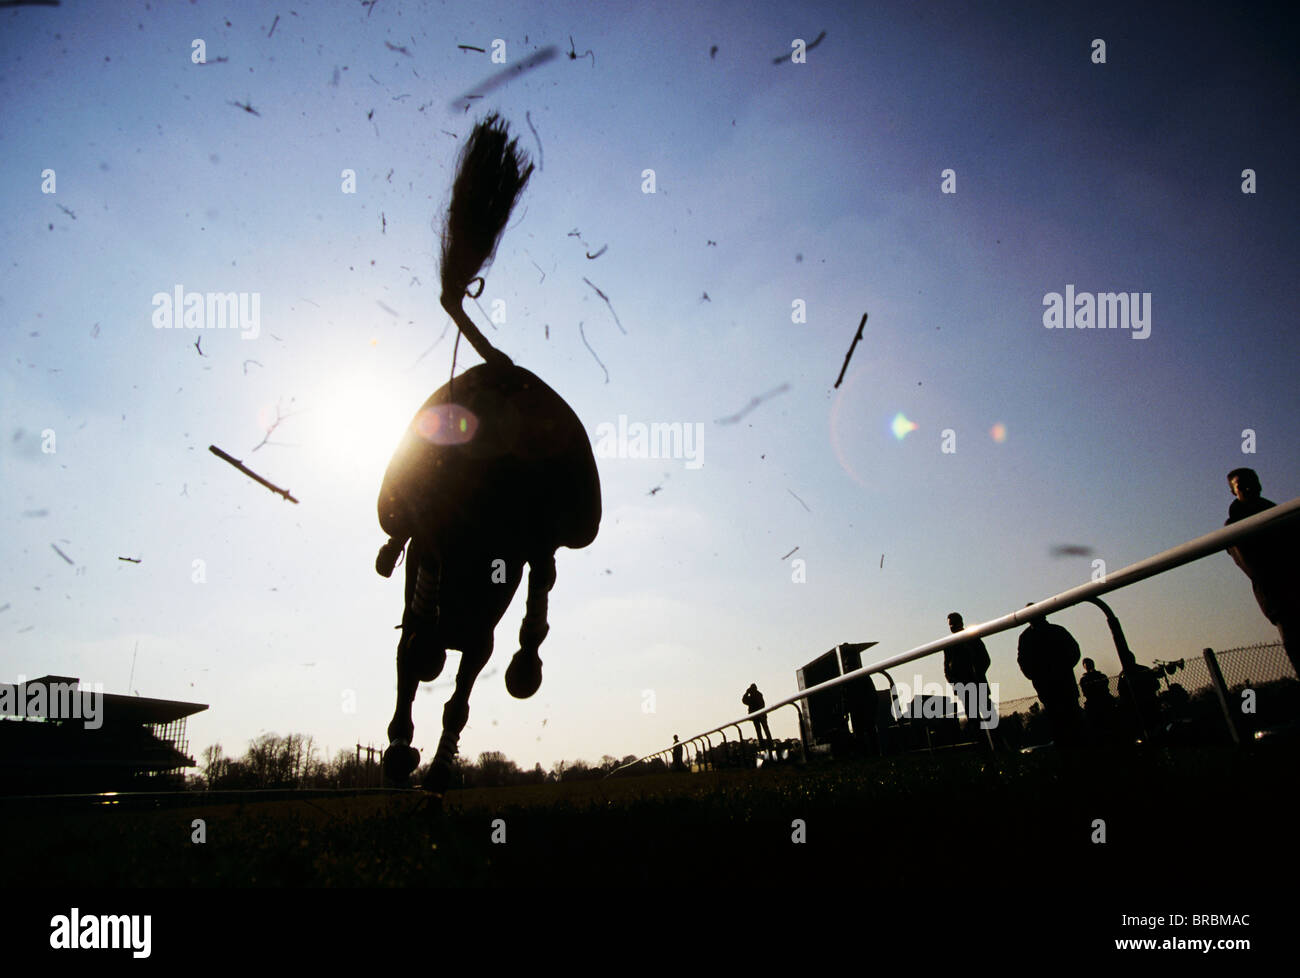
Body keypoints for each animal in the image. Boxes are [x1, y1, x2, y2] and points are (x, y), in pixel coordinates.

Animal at [375, 113, 601, 794]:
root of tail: (503, 373)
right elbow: (415, 676)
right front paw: (404, 753)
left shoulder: (474, 634)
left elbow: (454, 695)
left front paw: (425, 763)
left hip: (560, 517)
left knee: (541, 573)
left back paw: (526, 658)